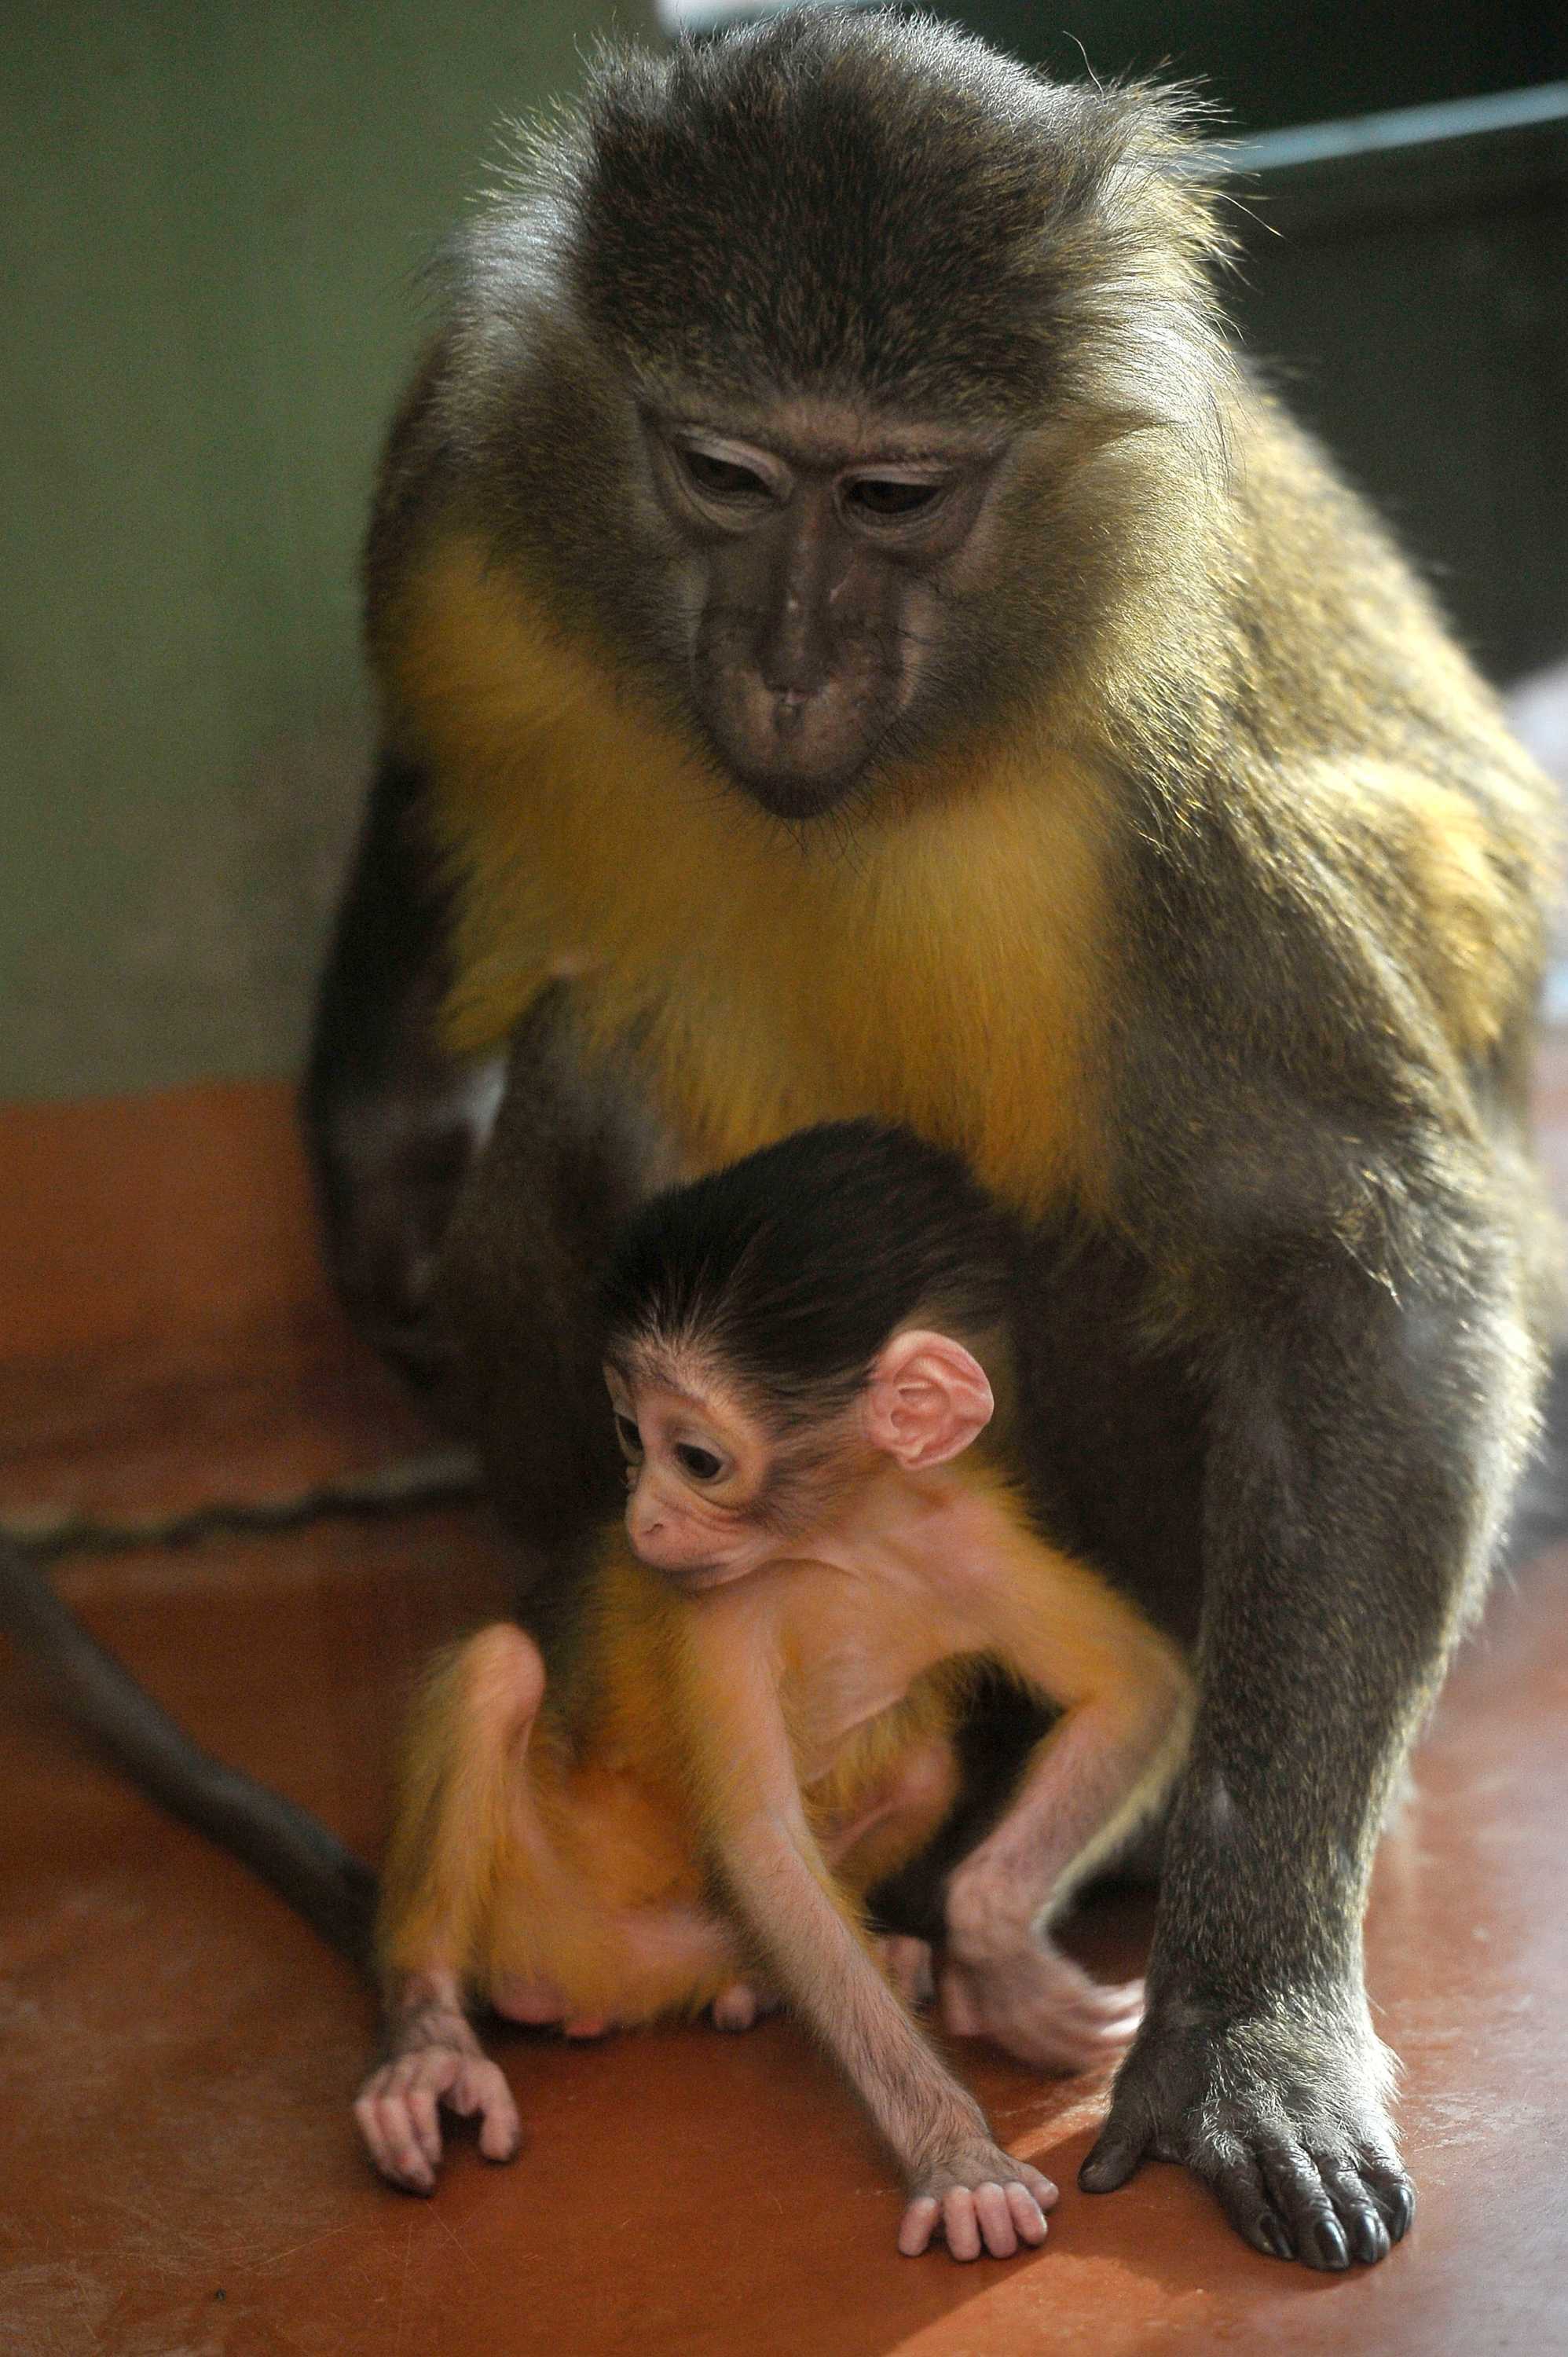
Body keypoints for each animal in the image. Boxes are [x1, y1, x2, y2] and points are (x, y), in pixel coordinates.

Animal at [356, 1121, 1190, 2262]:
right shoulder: (721, 1604)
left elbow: (1137, 1685)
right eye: (628, 1438)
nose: (646, 1522)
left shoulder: (968, 1535)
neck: (844, 1544)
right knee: (498, 1670)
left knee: (924, 1765)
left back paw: (796, 1976)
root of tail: (600, 1983)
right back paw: (431, 2039)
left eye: (697, 1459)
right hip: (529, 1905)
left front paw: (996, 1947)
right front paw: (957, 2157)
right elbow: (760, 1843)